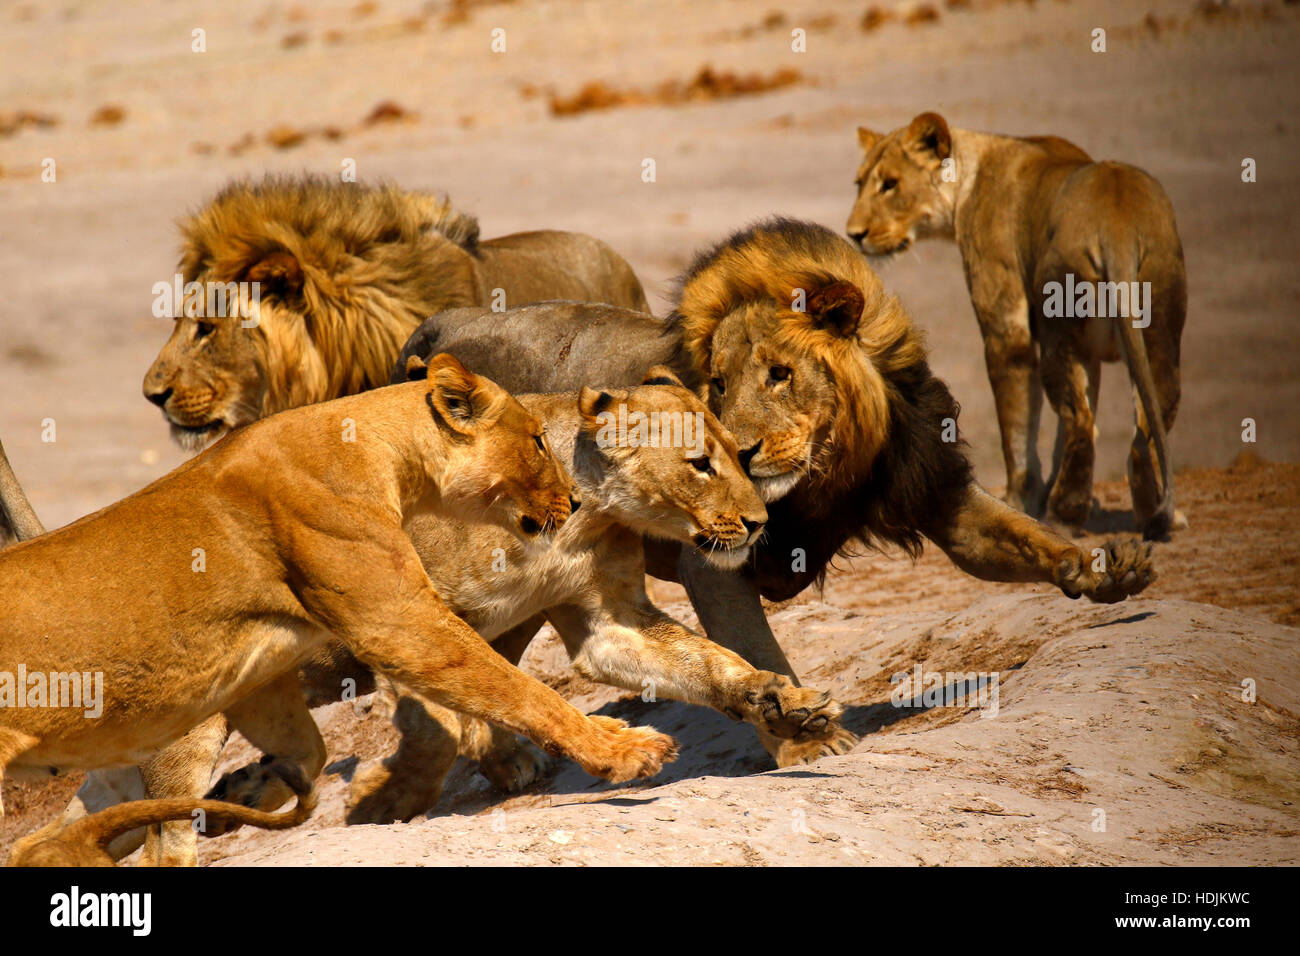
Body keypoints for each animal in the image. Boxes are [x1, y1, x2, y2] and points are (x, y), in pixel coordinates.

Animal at [0, 355, 676, 854]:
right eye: (537, 441)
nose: (574, 500)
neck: (387, 453)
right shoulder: (402, 623)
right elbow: (519, 691)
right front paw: (624, 751)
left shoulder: (267, 674)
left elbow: (313, 751)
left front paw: (250, 792)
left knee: (50, 837)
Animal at [379, 220, 1158, 769]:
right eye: (718, 385)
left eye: (780, 373)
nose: (745, 452)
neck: (834, 466)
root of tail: (446, 321)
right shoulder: (711, 561)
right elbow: (758, 650)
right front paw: (804, 736)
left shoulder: (940, 497)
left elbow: (1027, 541)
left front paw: (1109, 569)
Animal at [846, 112, 1187, 539]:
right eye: (859, 183)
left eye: (890, 184)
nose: (853, 234)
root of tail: (1116, 224)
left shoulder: (1006, 328)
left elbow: (1017, 423)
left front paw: (1020, 499)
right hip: (1159, 330)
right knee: (1145, 423)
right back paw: (1152, 517)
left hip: (1062, 326)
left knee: (1079, 419)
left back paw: (1064, 515)